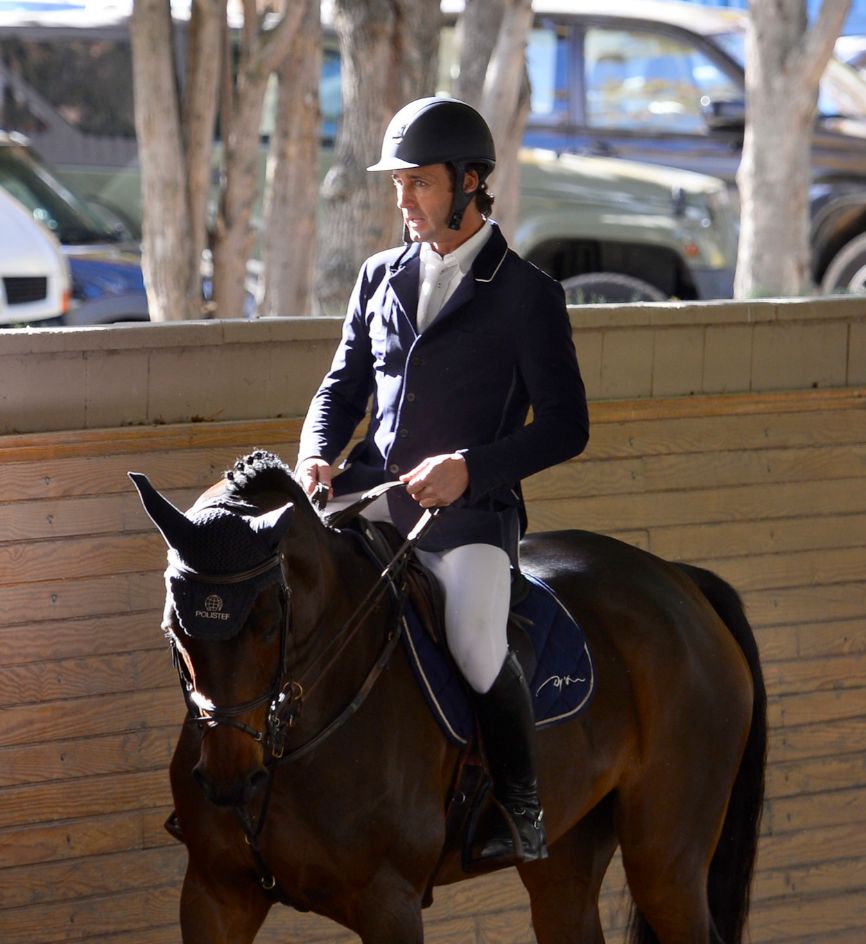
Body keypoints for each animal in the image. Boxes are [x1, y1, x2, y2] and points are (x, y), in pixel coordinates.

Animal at [129, 449, 766, 944]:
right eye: (174, 625)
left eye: (267, 623)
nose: (228, 782)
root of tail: (680, 579)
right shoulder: (215, 893)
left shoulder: (388, 902)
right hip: (569, 852)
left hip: (667, 861)